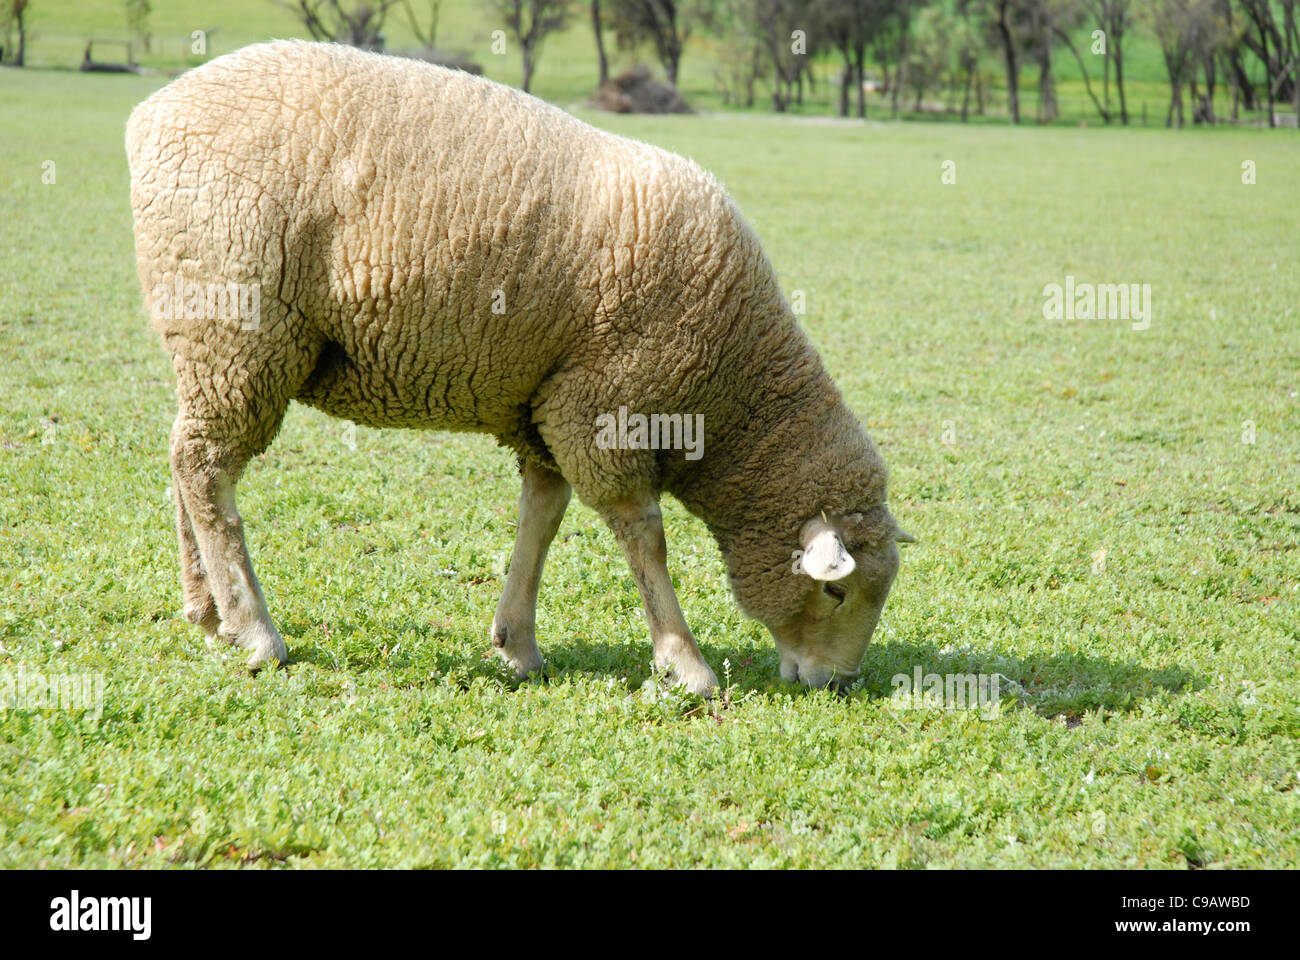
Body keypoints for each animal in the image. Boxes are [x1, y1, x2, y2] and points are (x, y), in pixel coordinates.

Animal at [126, 40, 912, 694]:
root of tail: (150, 114)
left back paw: (207, 613)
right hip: (240, 331)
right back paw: (256, 631)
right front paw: (685, 663)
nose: (835, 684)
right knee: (207, 468)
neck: (733, 388)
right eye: (837, 590)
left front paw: (519, 643)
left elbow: (543, 517)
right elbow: (645, 538)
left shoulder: (547, 408)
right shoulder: (604, 409)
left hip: (205, 337)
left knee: (186, 459)